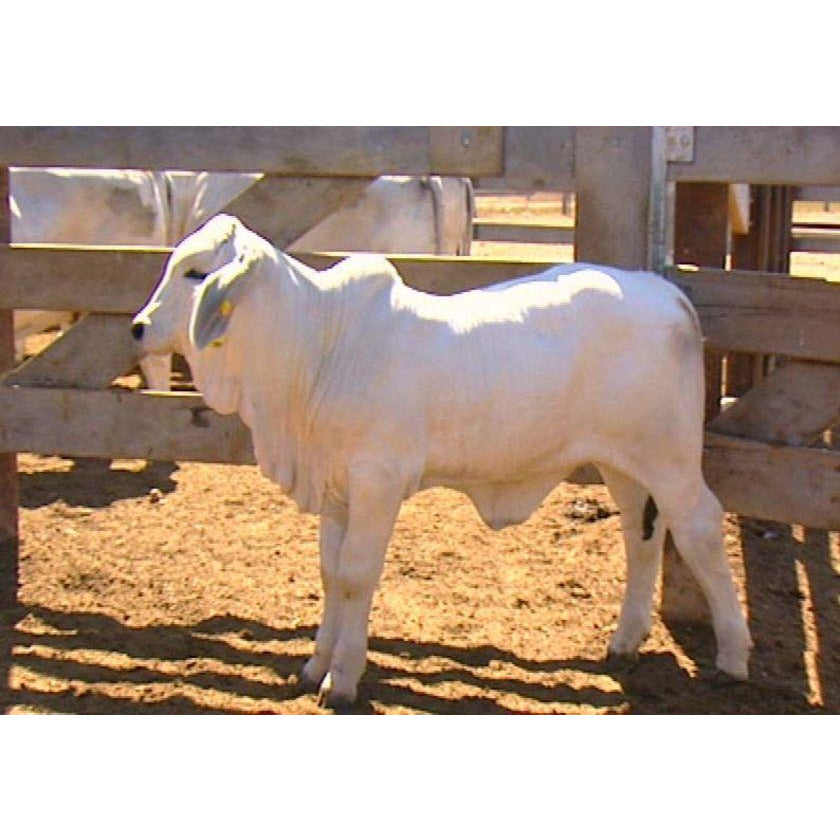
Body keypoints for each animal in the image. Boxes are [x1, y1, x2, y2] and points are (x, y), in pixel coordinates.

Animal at [134, 213, 752, 707]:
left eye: (196, 273)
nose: (138, 327)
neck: (317, 347)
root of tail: (663, 290)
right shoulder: (336, 489)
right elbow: (331, 574)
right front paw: (314, 666)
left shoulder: (377, 483)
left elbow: (356, 575)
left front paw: (344, 678)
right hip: (623, 462)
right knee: (640, 537)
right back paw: (625, 641)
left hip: (670, 457)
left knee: (699, 528)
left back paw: (733, 656)